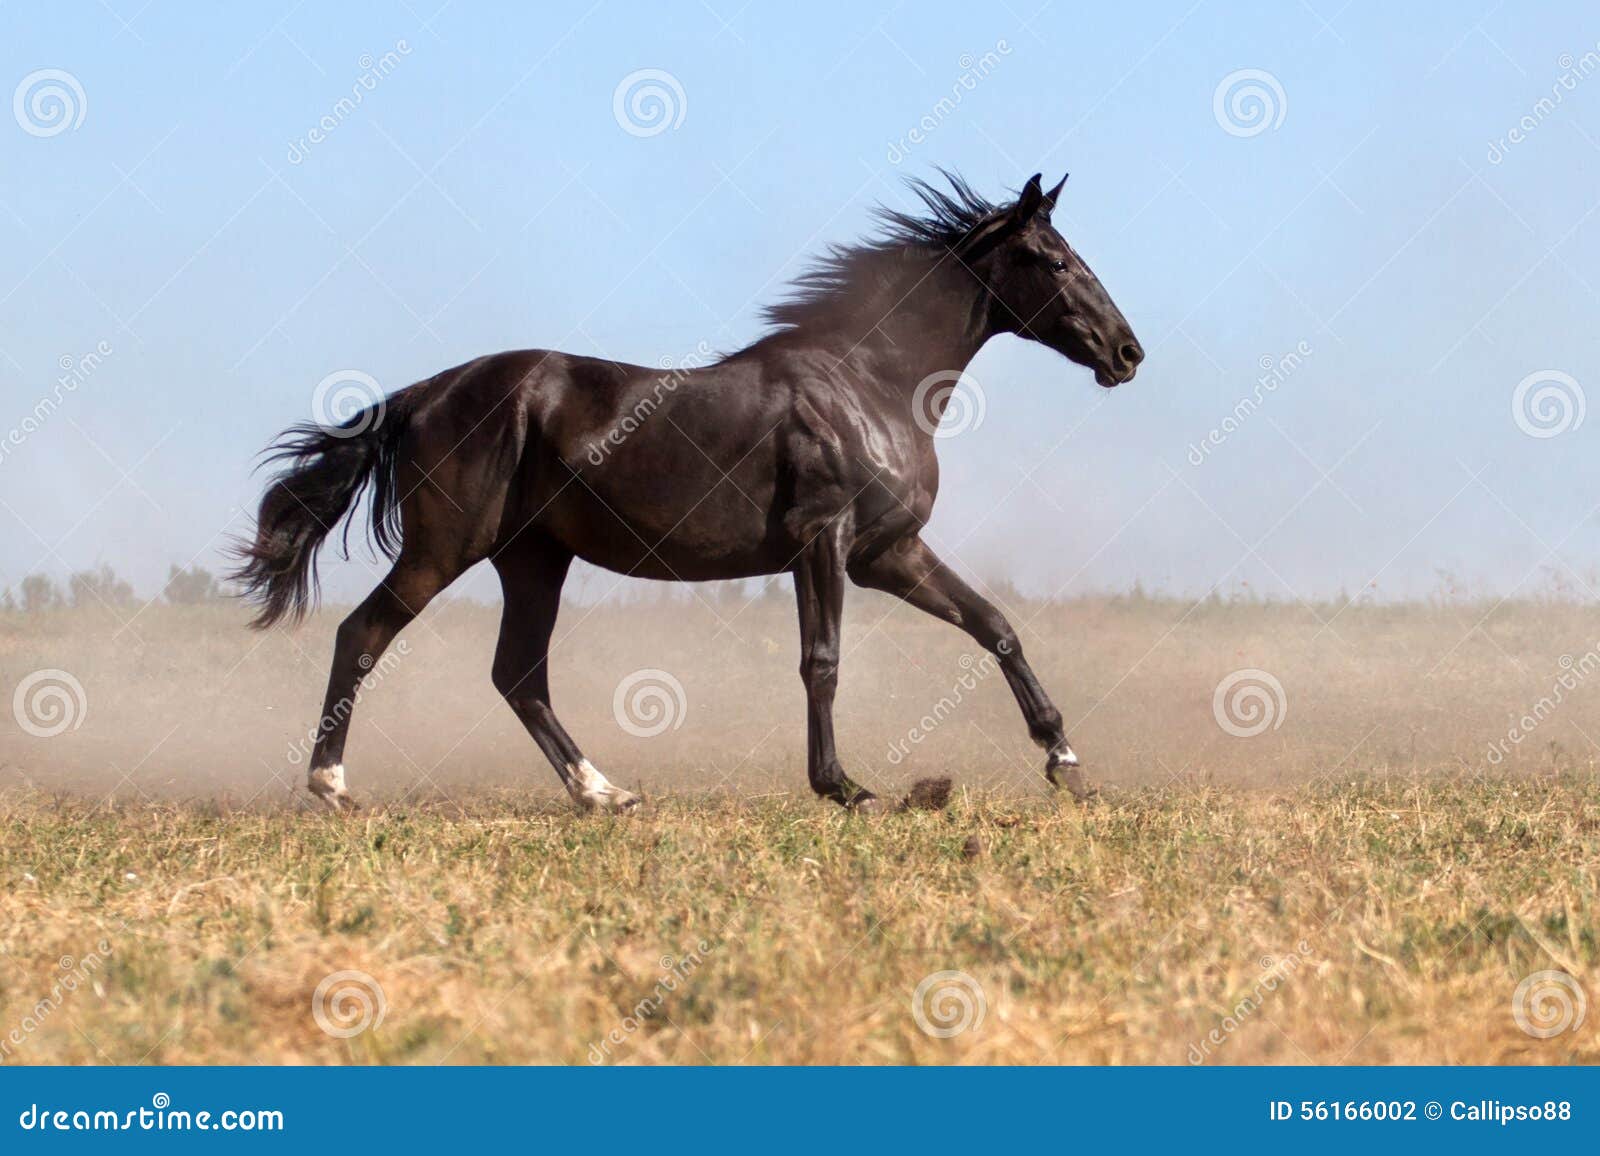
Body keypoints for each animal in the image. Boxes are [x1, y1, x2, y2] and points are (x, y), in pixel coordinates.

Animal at [231, 171, 1143, 814]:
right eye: (1054, 260)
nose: (1127, 352)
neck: (868, 382)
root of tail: (424, 395)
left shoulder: (889, 552)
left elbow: (995, 627)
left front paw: (1065, 763)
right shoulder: (824, 544)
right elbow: (822, 662)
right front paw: (845, 788)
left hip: (533, 560)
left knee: (518, 674)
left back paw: (604, 794)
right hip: (445, 549)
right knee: (364, 635)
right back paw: (333, 787)